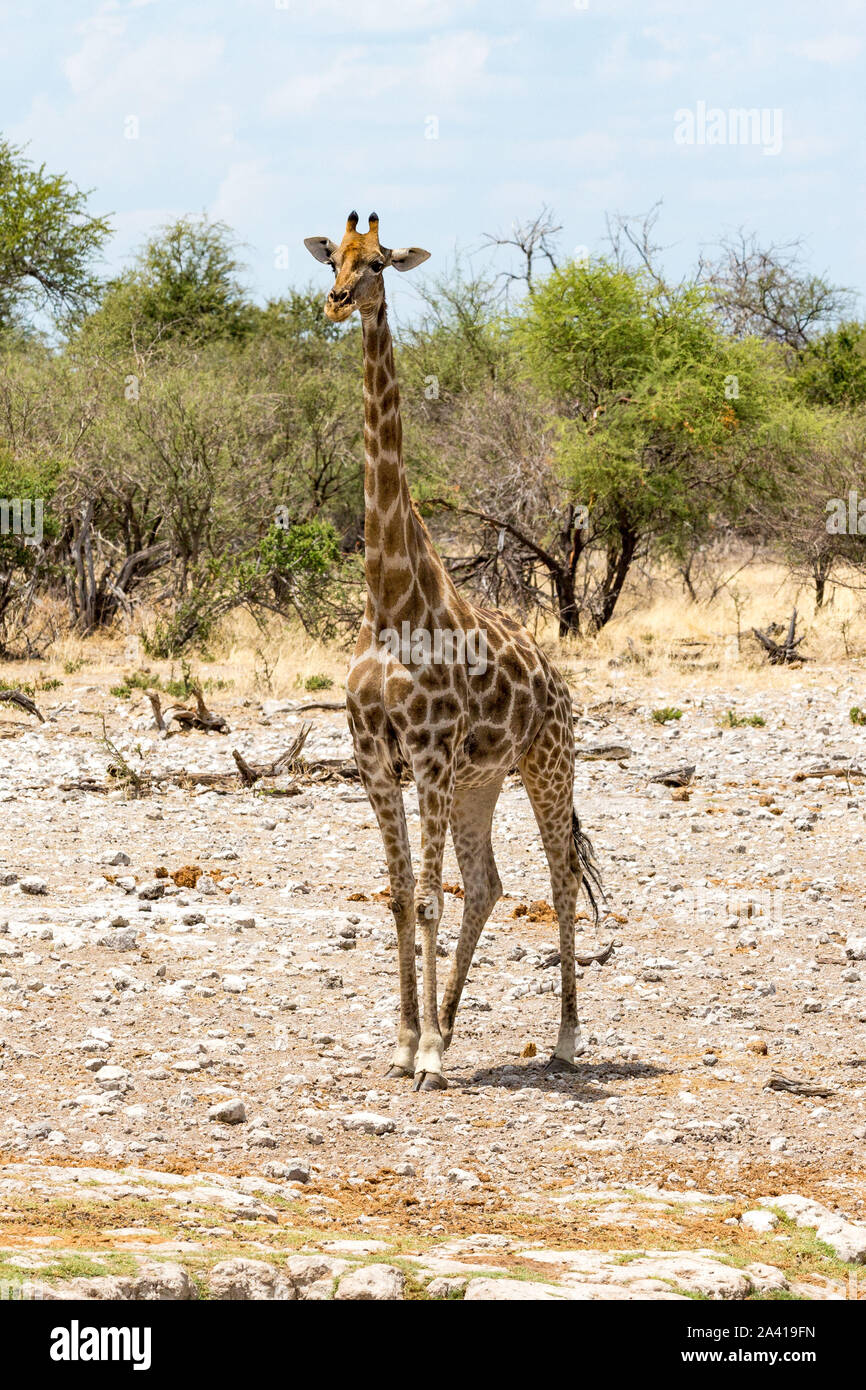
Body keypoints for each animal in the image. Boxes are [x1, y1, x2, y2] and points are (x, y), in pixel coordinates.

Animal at [304, 211, 601, 1091]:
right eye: (332, 259)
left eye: (379, 263)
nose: (337, 303)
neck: (390, 597)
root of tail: (559, 684)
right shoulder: (373, 754)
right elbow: (403, 894)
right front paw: (409, 1041)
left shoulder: (429, 752)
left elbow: (429, 897)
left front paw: (429, 1054)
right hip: (483, 780)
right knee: (488, 883)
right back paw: (454, 1020)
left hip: (546, 763)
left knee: (557, 880)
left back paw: (564, 1039)